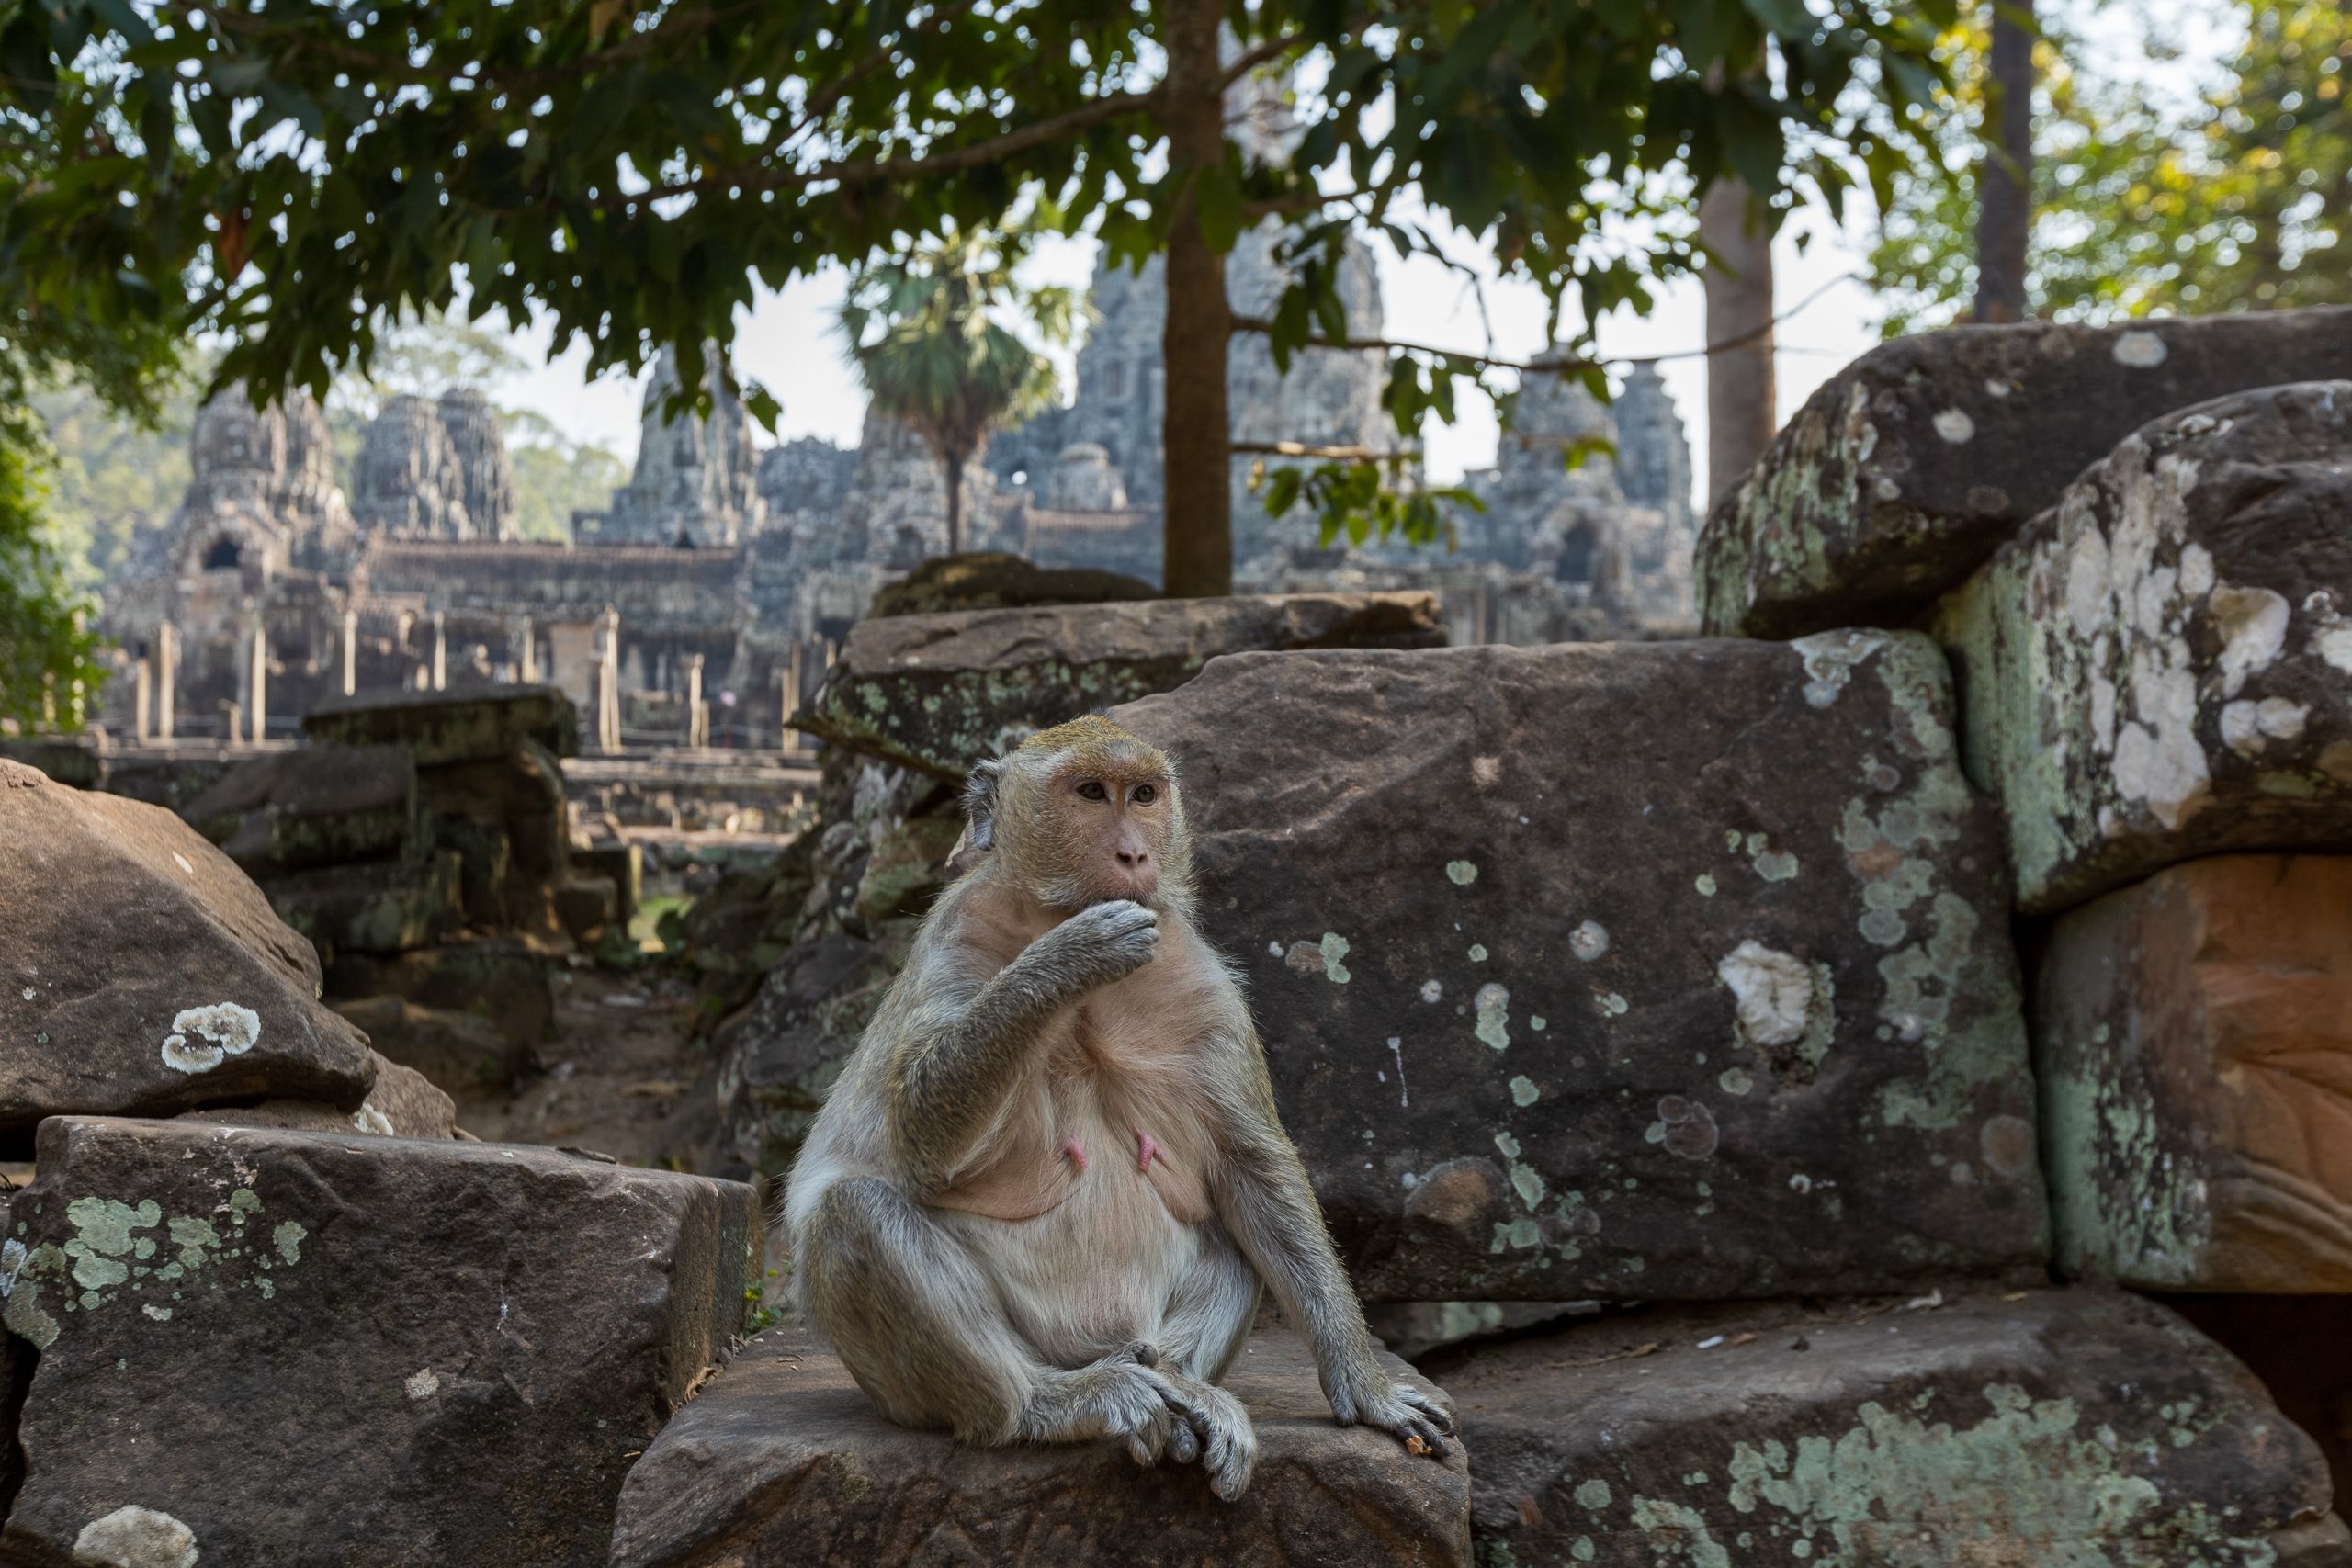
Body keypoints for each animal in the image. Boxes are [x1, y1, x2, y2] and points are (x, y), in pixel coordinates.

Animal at [782, 715, 1452, 1500]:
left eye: (1144, 794)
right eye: (1091, 793)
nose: (1133, 852)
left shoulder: (1200, 981)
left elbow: (1252, 1168)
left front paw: (1366, 1388)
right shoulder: (956, 935)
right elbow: (919, 1136)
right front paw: (1068, 955)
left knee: (1231, 1238)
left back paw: (1183, 1387)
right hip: (901, 1385)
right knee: (858, 1212)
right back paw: (1050, 1402)